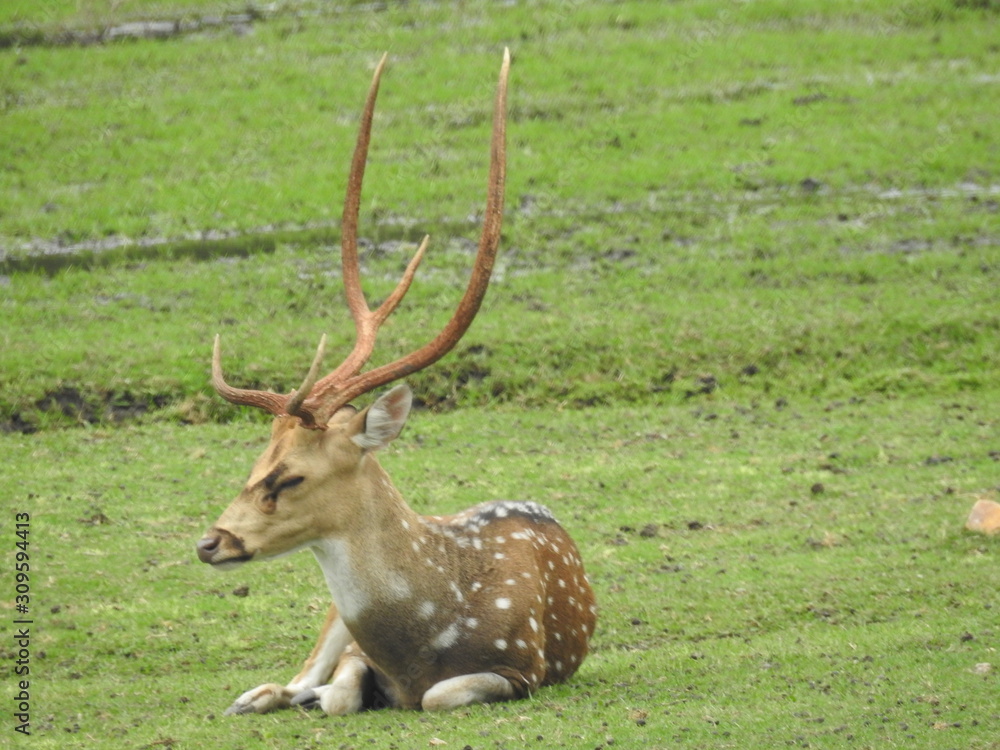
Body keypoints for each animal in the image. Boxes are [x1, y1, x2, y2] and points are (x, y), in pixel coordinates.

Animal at [195, 49, 597, 717]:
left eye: (290, 476)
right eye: (257, 462)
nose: (210, 542)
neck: (429, 630)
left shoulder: (524, 668)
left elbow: (436, 696)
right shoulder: (357, 650)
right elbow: (340, 693)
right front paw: (320, 696)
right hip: (328, 621)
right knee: (294, 678)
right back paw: (257, 696)